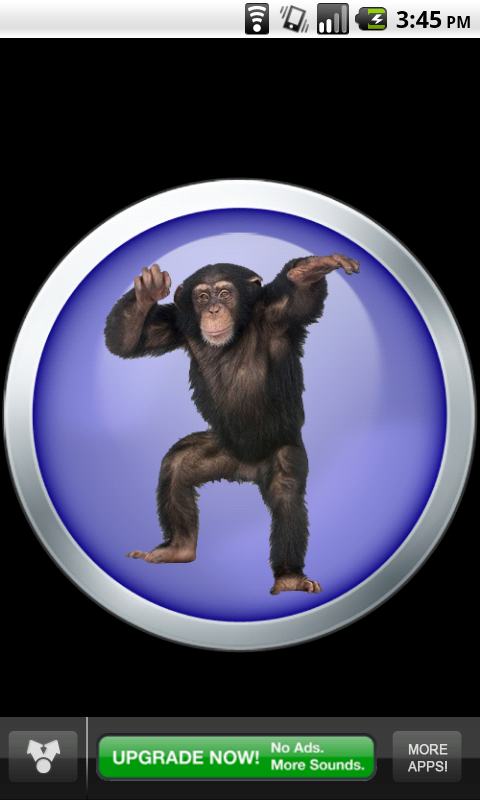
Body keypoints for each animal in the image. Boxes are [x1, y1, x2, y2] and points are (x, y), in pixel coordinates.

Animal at [104, 254, 360, 594]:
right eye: (202, 296)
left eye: (225, 294)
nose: (213, 309)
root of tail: (246, 470)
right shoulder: (176, 325)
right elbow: (127, 342)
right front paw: (147, 292)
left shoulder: (279, 315)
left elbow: (301, 298)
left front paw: (308, 270)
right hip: (219, 451)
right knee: (176, 468)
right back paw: (178, 548)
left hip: (280, 450)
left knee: (287, 492)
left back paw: (290, 576)